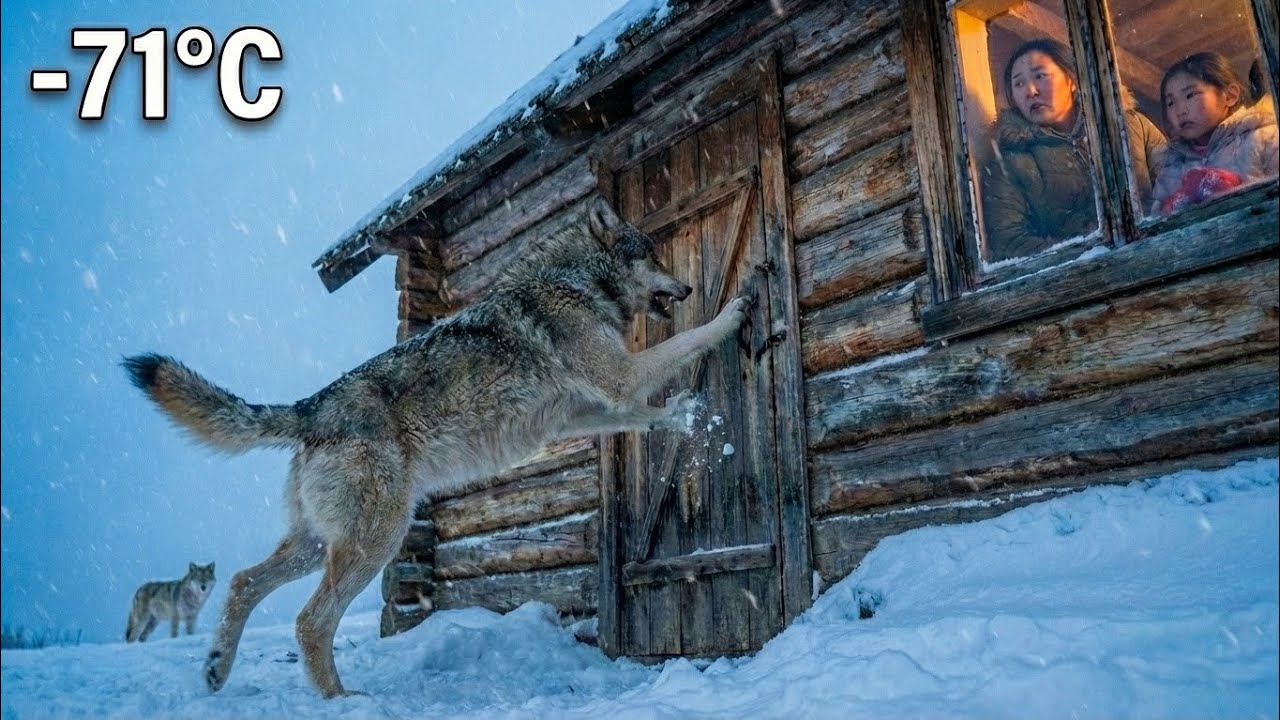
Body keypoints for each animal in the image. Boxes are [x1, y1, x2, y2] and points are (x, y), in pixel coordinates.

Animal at [122, 195, 751, 698]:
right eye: (653, 254)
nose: (687, 286)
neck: (577, 283)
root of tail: (311, 406)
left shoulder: (582, 412)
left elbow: (642, 414)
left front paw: (680, 415)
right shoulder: (618, 376)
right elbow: (689, 339)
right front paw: (735, 306)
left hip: (317, 543)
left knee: (242, 583)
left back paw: (216, 670)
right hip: (375, 541)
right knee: (308, 620)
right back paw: (342, 701)